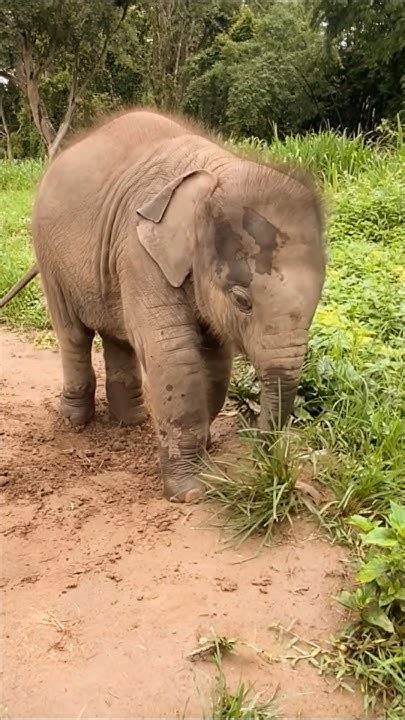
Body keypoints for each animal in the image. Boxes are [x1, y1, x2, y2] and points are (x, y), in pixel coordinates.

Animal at [1, 109, 325, 502]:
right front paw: (191, 492)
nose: (271, 471)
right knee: (73, 334)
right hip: (49, 254)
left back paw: (131, 420)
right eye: (242, 301)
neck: (215, 172)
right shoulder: (138, 251)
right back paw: (74, 421)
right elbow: (173, 354)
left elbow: (215, 358)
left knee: (117, 336)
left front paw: (206, 451)